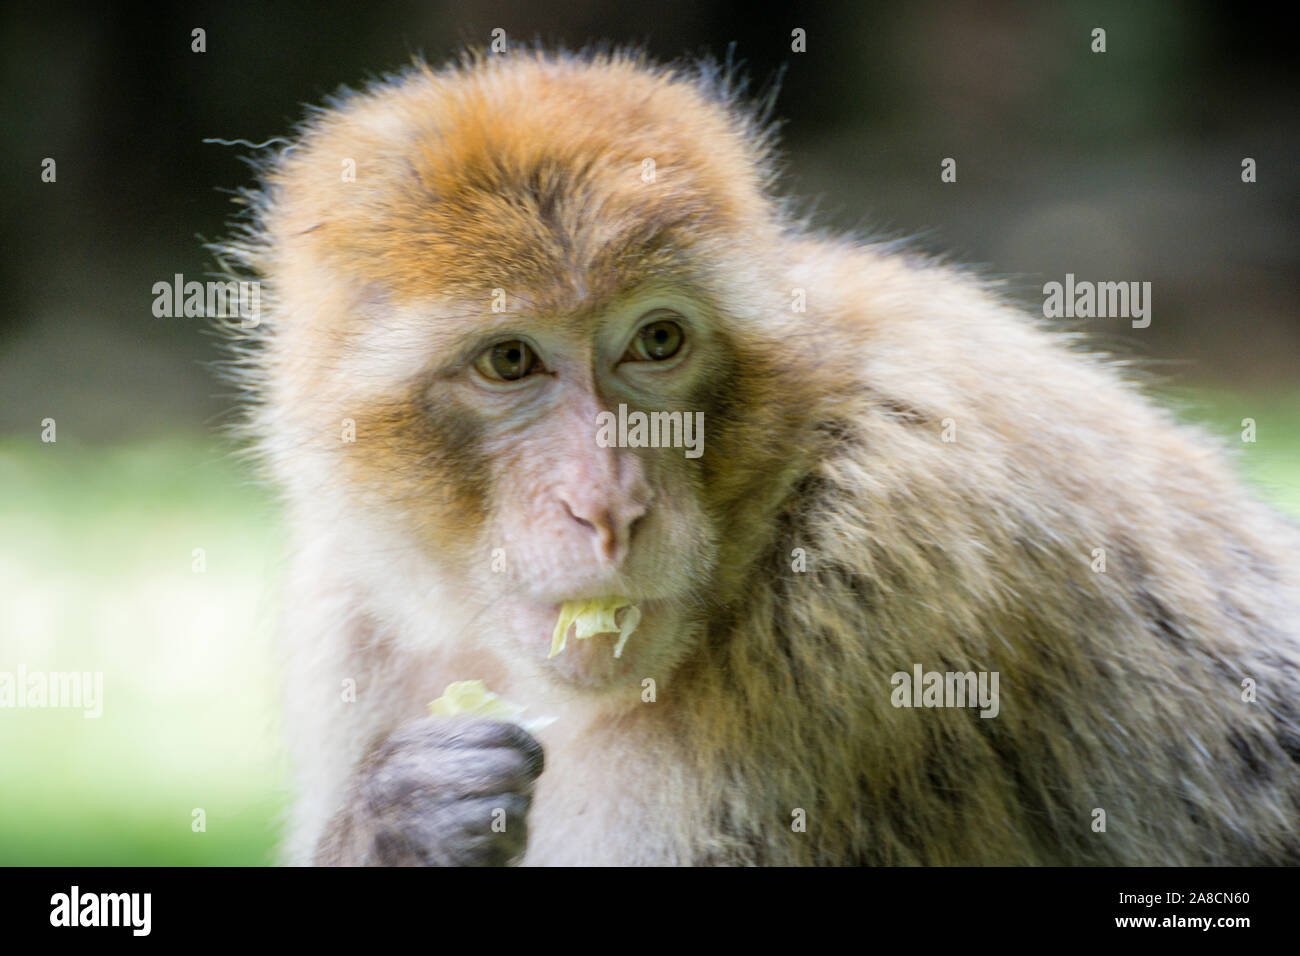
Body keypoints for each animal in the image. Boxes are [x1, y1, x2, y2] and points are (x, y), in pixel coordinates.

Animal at [214, 48, 1300, 866]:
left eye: (657, 341)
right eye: (509, 360)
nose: (607, 506)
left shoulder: (876, 601)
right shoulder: (350, 605)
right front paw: (402, 823)